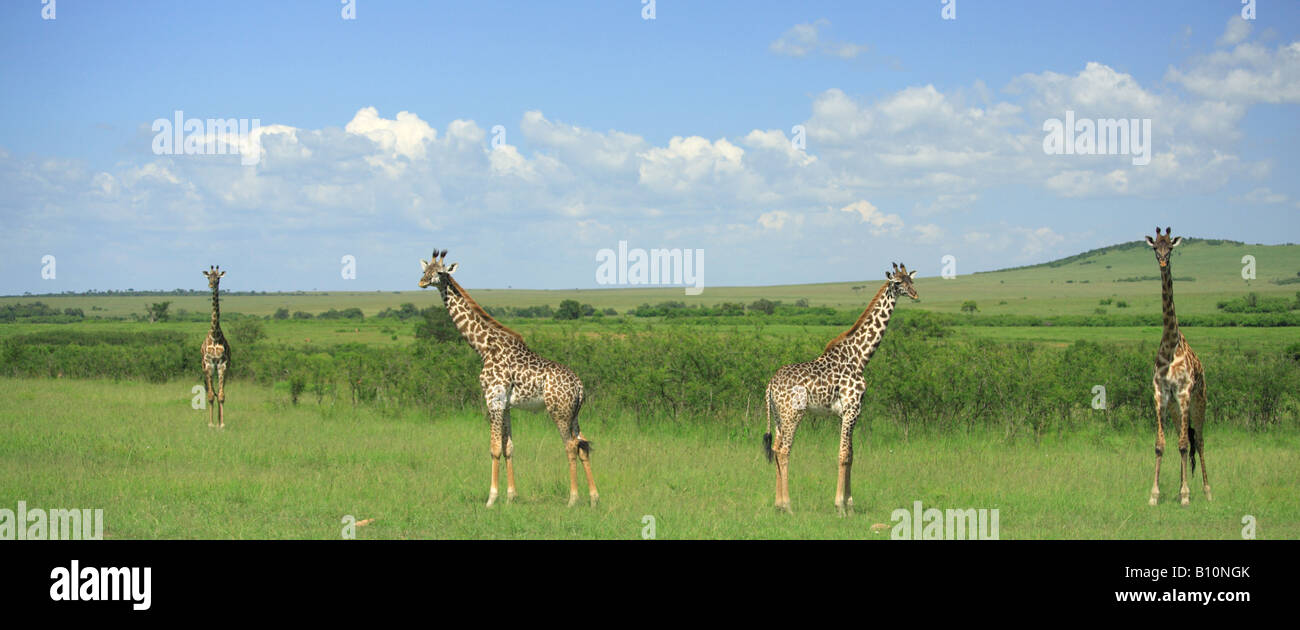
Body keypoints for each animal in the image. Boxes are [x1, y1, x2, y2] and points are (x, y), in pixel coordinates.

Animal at [418, 249, 598, 508]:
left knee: (571, 446)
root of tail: (580, 386)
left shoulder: (492, 400)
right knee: (583, 446)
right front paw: (511, 496)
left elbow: (494, 448)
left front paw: (491, 498)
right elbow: (509, 447)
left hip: (559, 412)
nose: (422, 282)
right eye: (425, 270)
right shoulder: (505, 405)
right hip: (574, 414)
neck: (484, 347)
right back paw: (594, 498)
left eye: (440, 273)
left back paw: (573, 499)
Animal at [763, 262, 919, 515]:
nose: (915, 294)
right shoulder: (851, 409)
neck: (860, 357)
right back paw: (788, 506)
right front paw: (840, 506)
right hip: (792, 414)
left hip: (778, 416)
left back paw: (778, 505)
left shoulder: (851, 412)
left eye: (911, 280)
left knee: (776, 448)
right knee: (785, 450)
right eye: (897, 283)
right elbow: (844, 455)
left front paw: (850, 505)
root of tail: (770, 384)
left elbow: (852, 455)